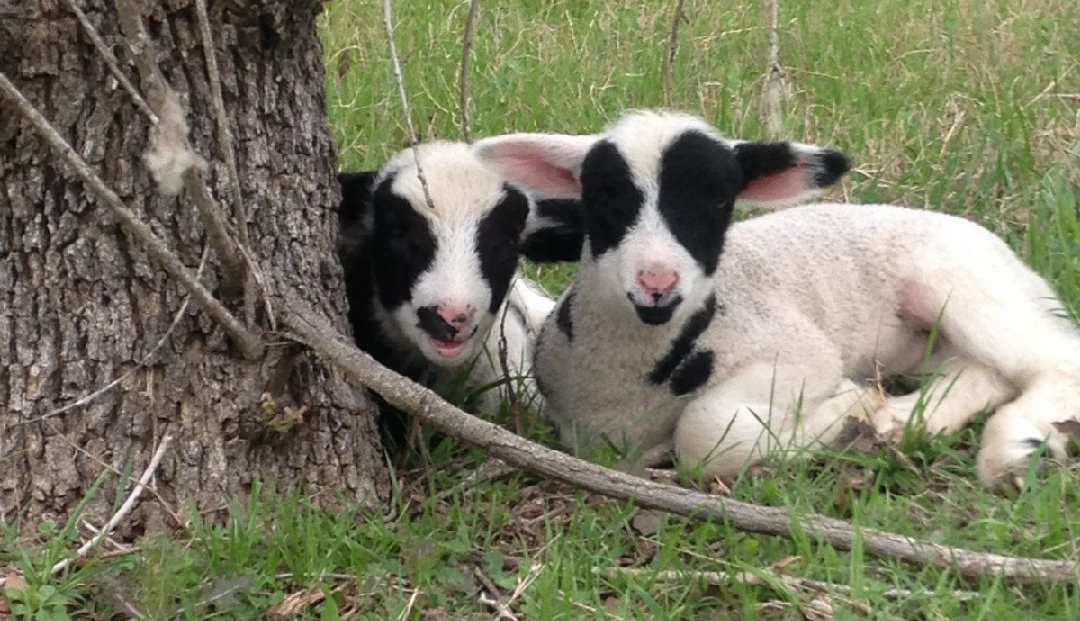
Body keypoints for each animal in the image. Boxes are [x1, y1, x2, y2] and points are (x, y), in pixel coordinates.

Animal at [474, 109, 1080, 487]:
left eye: (720, 201)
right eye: (603, 198)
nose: (657, 284)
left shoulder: (799, 352)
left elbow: (705, 431)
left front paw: (845, 410)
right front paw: (863, 415)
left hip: (957, 279)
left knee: (1053, 360)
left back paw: (1011, 448)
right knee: (982, 372)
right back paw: (907, 423)